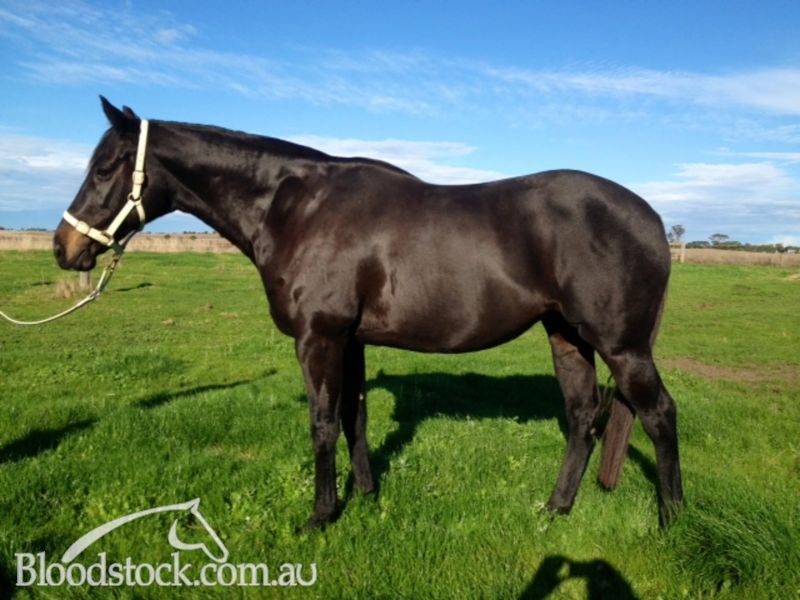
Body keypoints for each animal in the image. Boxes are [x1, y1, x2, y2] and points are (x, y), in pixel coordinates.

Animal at [53, 97, 683, 529]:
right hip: (566, 335)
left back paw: (672, 518)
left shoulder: (318, 338)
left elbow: (323, 424)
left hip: (621, 345)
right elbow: (355, 417)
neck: (297, 208)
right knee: (582, 415)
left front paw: (320, 515)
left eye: (105, 169)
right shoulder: (350, 340)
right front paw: (366, 495)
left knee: (659, 414)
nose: (64, 247)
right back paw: (556, 507)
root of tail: (653, 220)